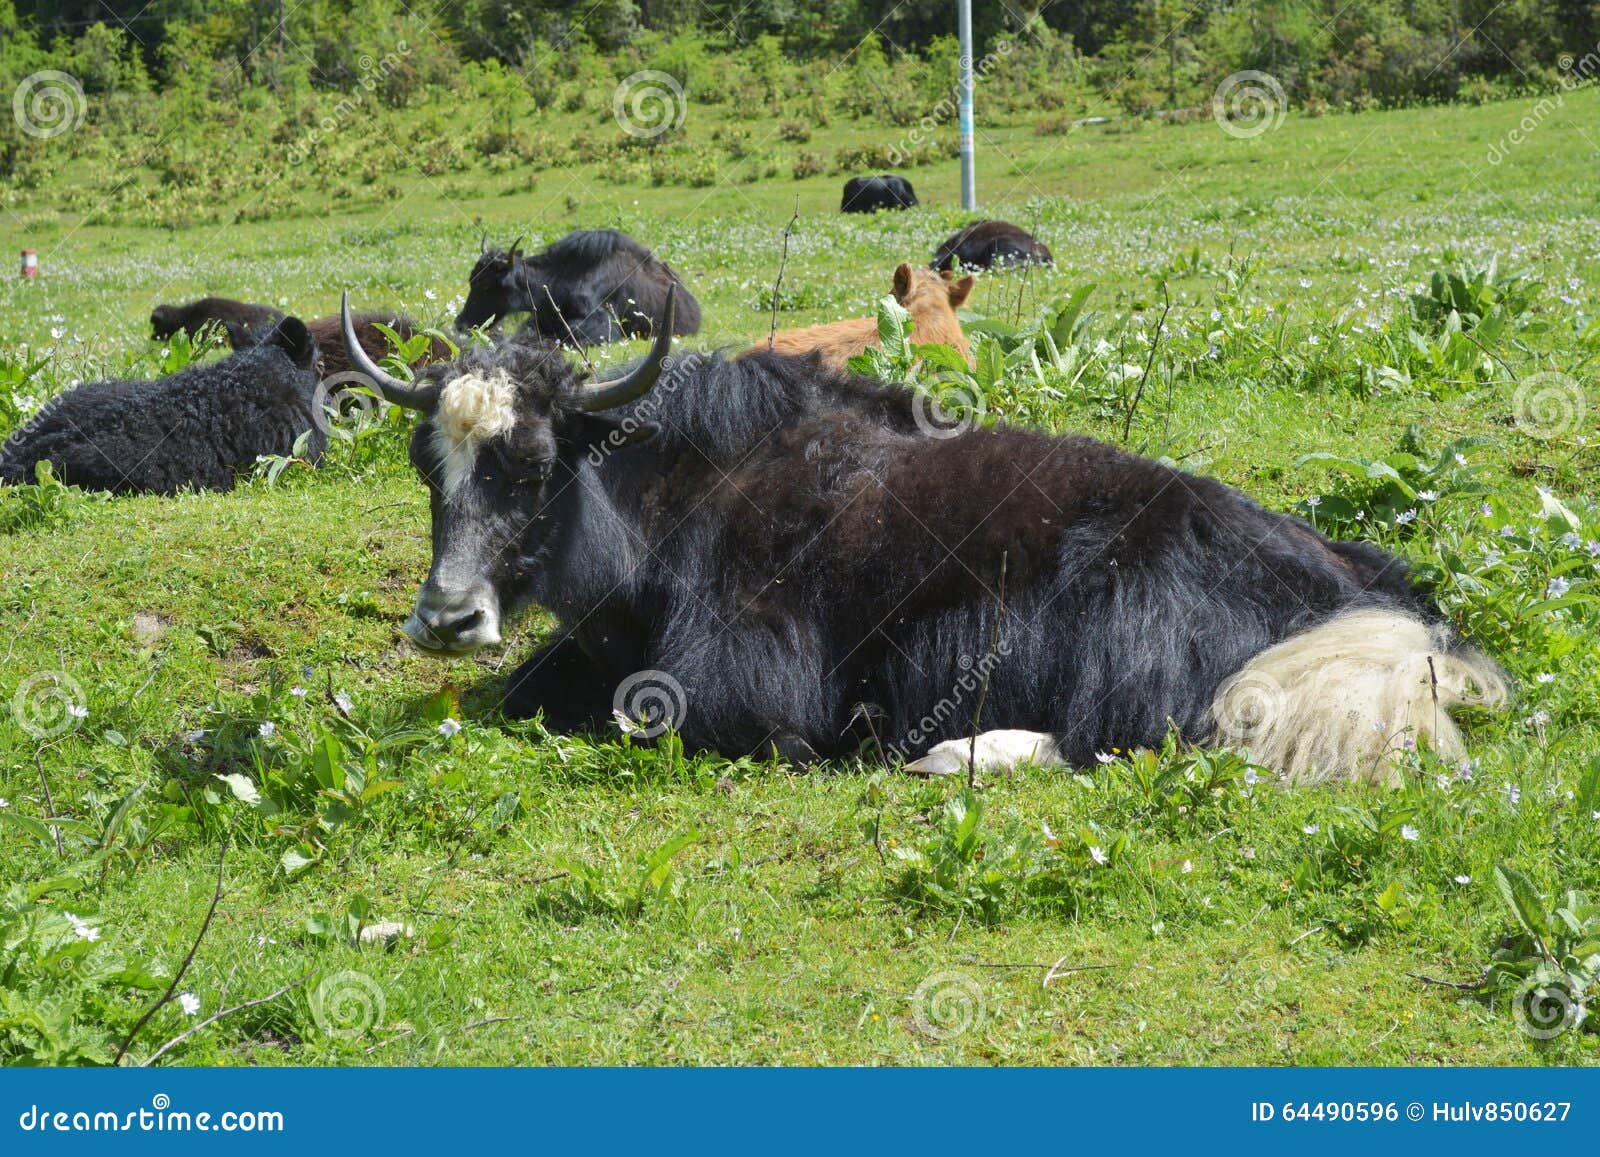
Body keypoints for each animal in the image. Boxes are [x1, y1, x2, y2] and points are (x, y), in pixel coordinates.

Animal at [340, 292, 1506, 787]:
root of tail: (1361, 600)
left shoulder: (741, 678)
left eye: (533, 464)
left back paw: (949, 750)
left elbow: (653, 717)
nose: (445, 619)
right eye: (426, 466)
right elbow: (518, 693)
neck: (670, 498)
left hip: (1132, 615)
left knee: (1139, 732)